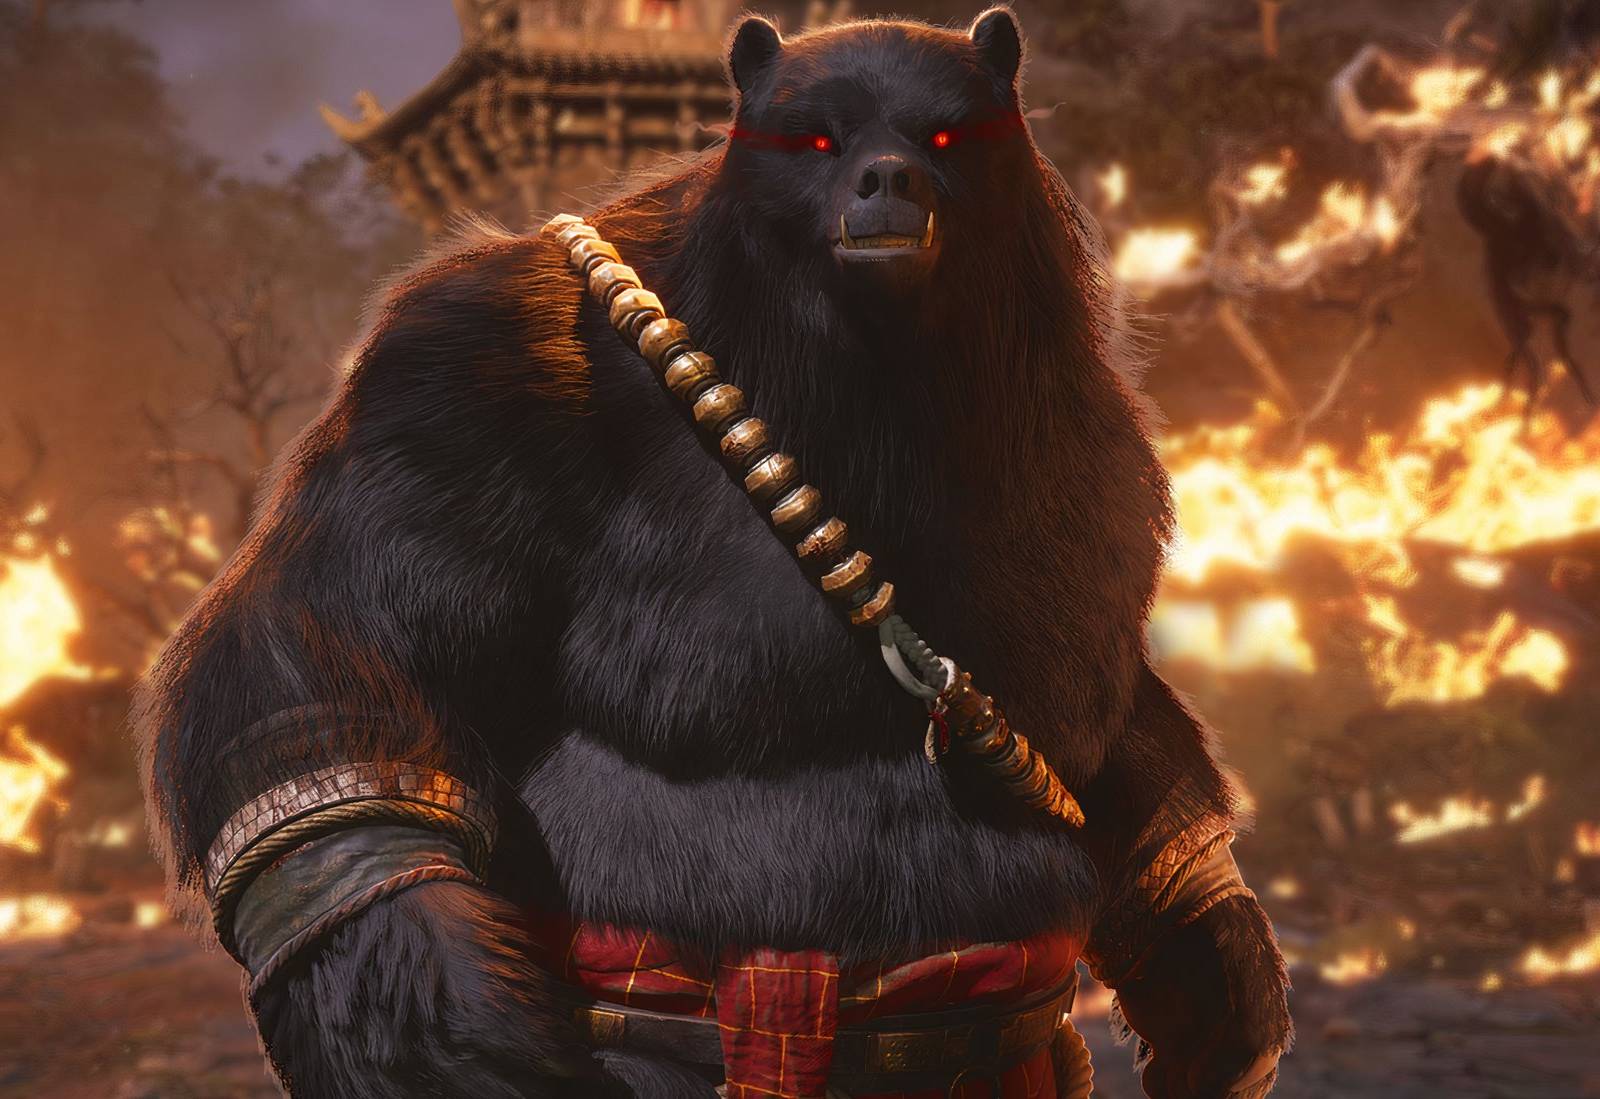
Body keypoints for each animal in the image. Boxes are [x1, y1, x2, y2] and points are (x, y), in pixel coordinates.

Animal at [136, 9, 1292, 1099]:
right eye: (818, 137)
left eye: (944, 134)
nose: (890, 178)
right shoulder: (456, 372)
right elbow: (335, 638)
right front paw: (441, 1025)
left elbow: (1117, 724)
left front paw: (1218, 975)